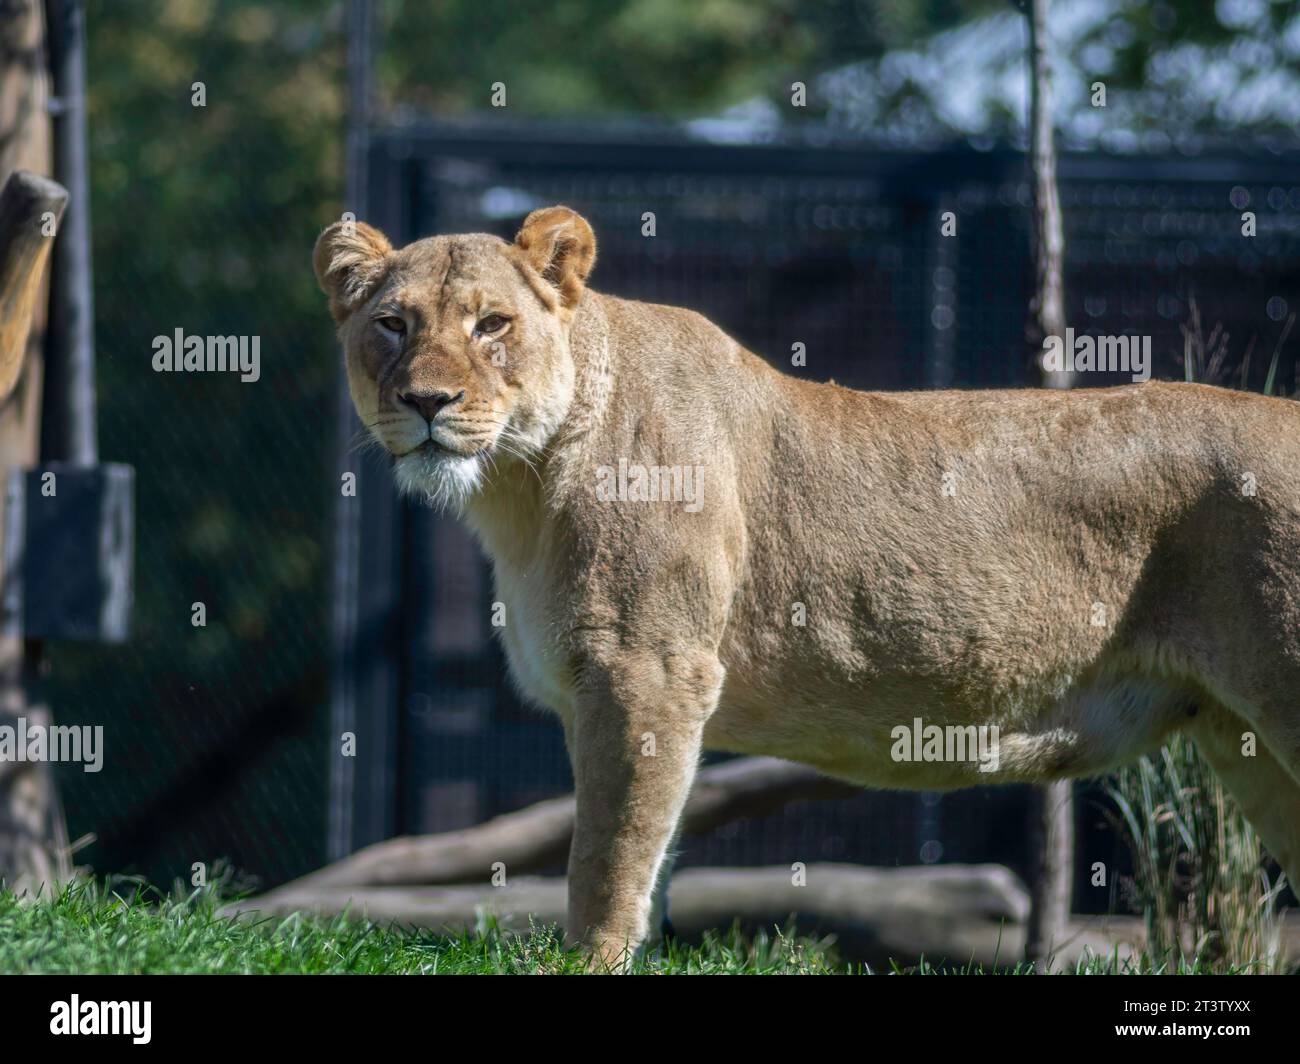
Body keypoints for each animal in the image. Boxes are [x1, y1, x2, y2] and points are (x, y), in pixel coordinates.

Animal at [315, 205, 1300, 968]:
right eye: (393, 325)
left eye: (491, 325)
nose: (427, 402)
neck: (520, 485)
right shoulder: (652, 690)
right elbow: (655, 849)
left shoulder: (648, 670)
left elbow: (609, 851)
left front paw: (590, 961)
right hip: (1244, 743)